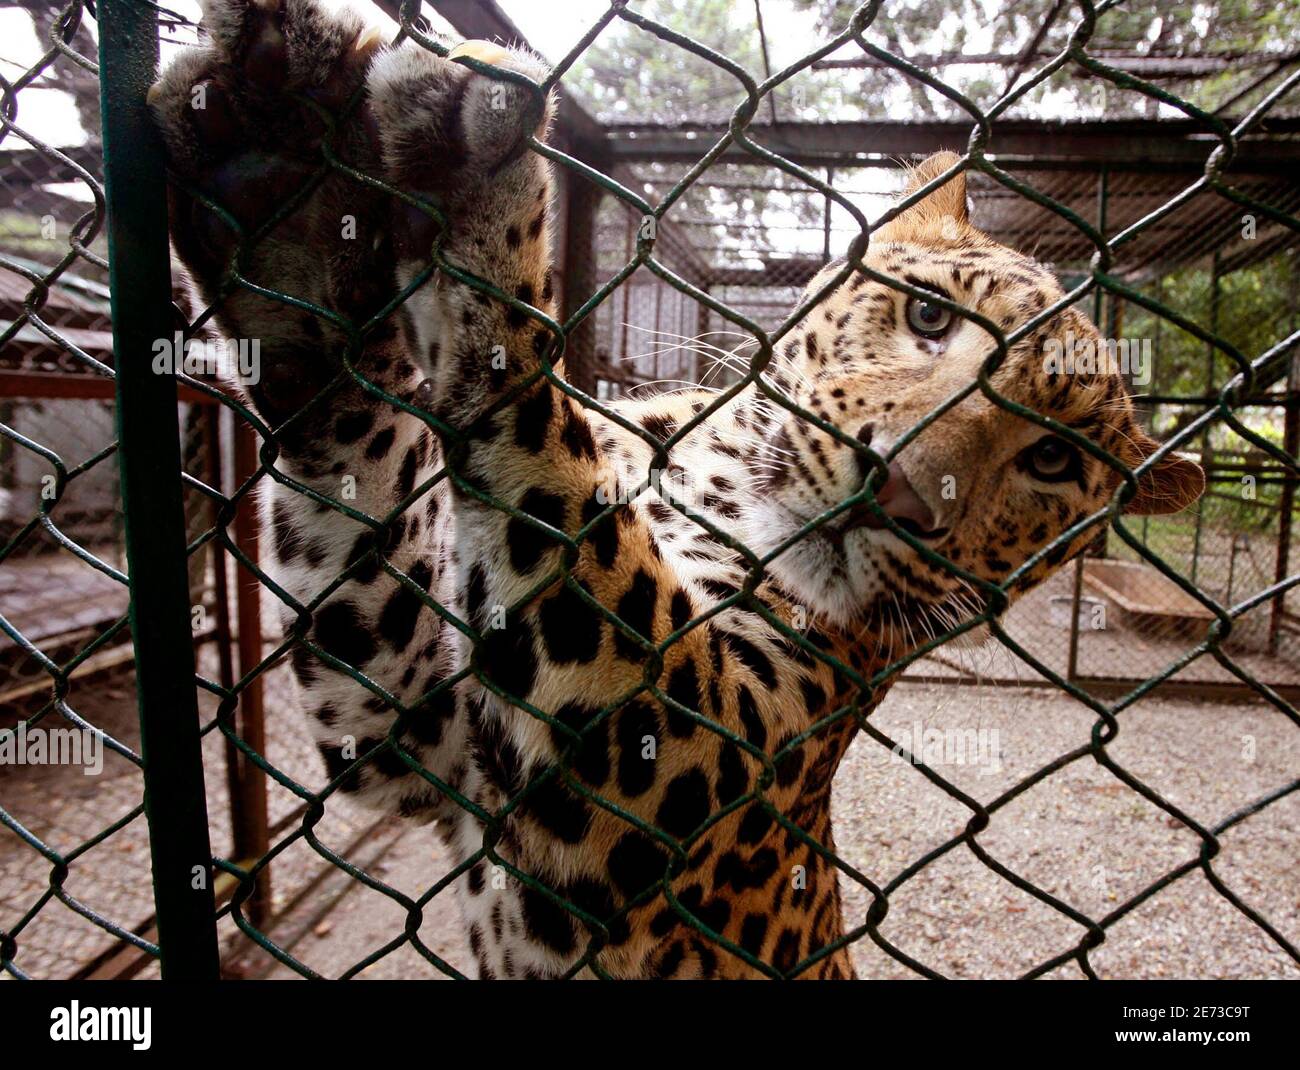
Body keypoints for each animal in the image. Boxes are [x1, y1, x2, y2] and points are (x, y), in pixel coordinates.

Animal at [150, 0, 1204, 979]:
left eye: (1054, 461)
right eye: (929, 318)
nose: (902, 493)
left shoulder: (682, 755)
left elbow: (560, 480)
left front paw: (485, 177)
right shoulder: (418, 730)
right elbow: (367, 472)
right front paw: (289, 211)